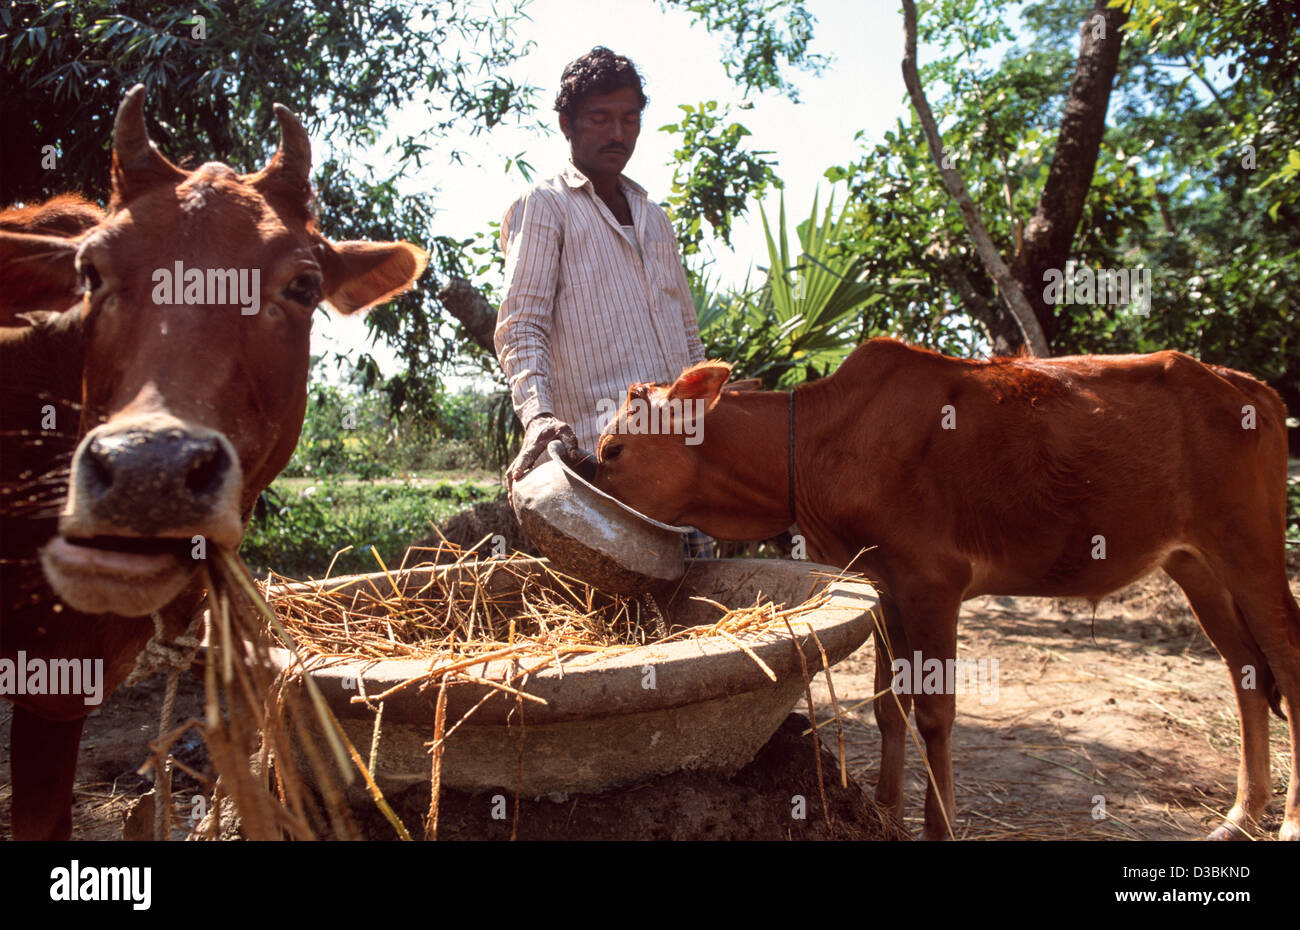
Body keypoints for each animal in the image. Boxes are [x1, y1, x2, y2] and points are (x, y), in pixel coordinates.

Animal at [591, 338, 1300, 841]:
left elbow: (934, 710)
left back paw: (1287, 820)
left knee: (1286, 669)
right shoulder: (878, 582)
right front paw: (882, 812)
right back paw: (1239, 816)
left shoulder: (933, 581)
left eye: (614, 449)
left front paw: (937, 825)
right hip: (1193, 561)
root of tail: (1250, 387)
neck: (816, 445)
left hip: (1251, 547)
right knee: (1245, 672)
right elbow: (888, 702)